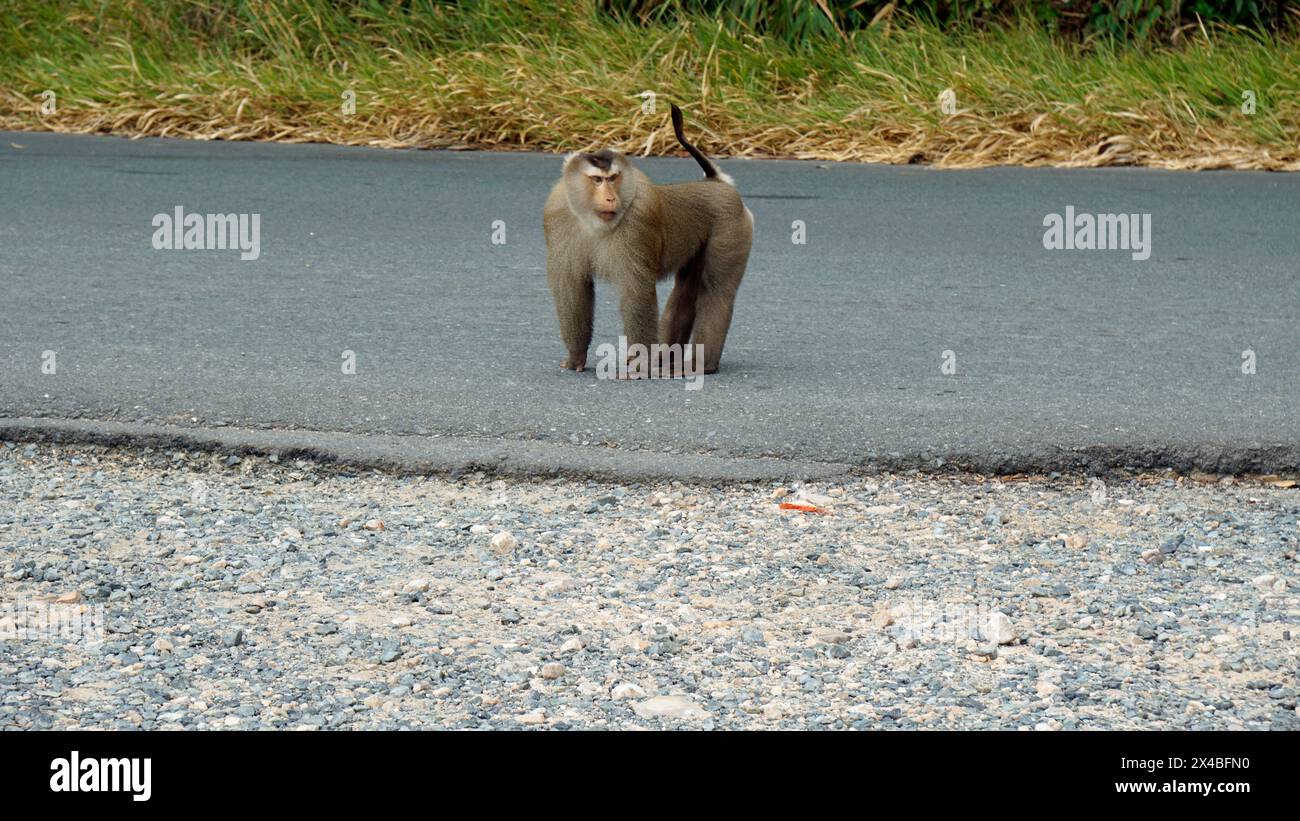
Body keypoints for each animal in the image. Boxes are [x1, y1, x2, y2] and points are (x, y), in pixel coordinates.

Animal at [542, 103, 752, 377]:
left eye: (613, 178)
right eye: (597, 179)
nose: (610, 198)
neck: (591, 220)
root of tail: (717, 183)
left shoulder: (638, 222)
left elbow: (637, 291)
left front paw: (640, 364)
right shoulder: (557, 214)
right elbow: (572, 287)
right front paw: (576, 356)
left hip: (730, 226)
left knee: (716, 291)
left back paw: (700, 365)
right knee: (685, 292)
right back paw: (664, 358)